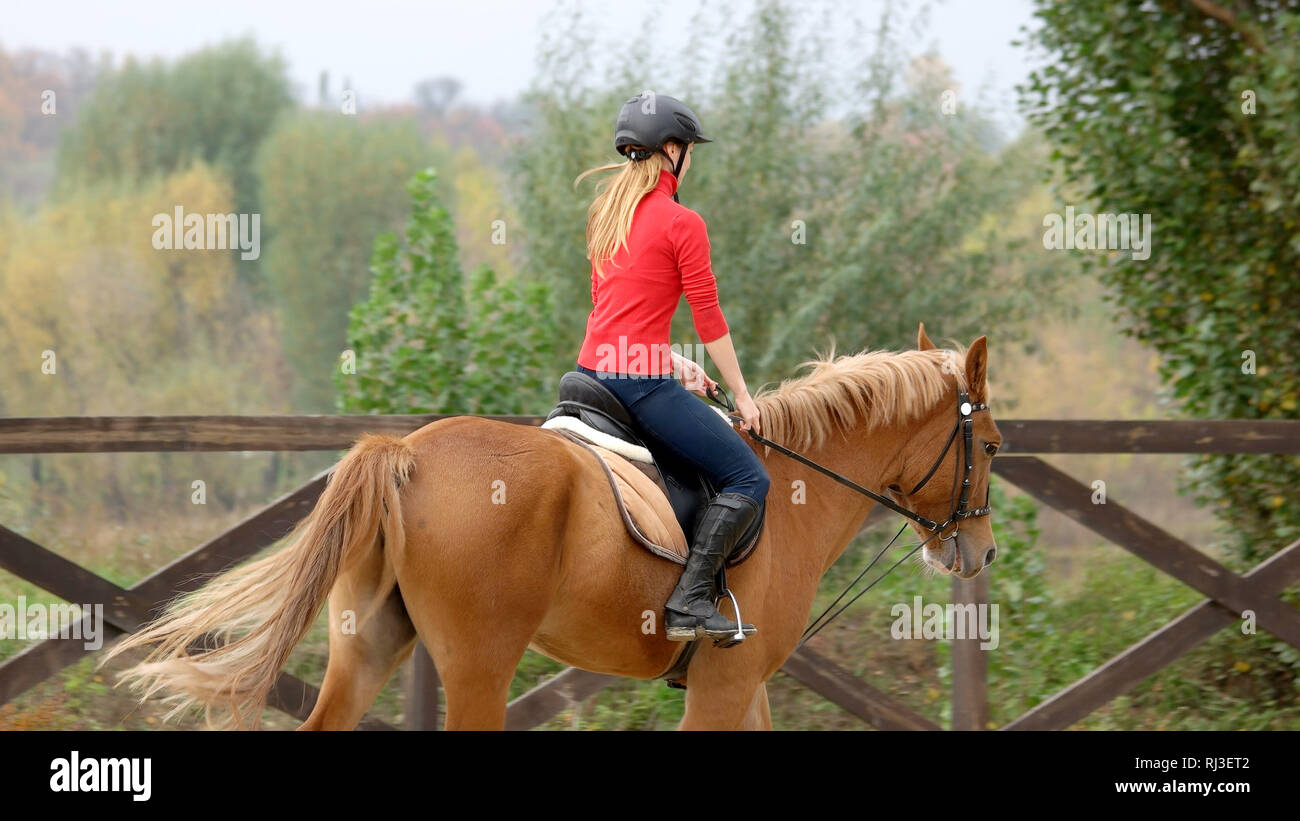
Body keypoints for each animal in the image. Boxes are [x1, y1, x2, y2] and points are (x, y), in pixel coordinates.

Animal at [104, 324, 1000, 730]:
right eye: (991, 445)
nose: (979, 551)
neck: (790, 488)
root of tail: (407, 453)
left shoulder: (744, 686)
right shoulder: (725, 682)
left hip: (371, 641)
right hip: (477, 665)